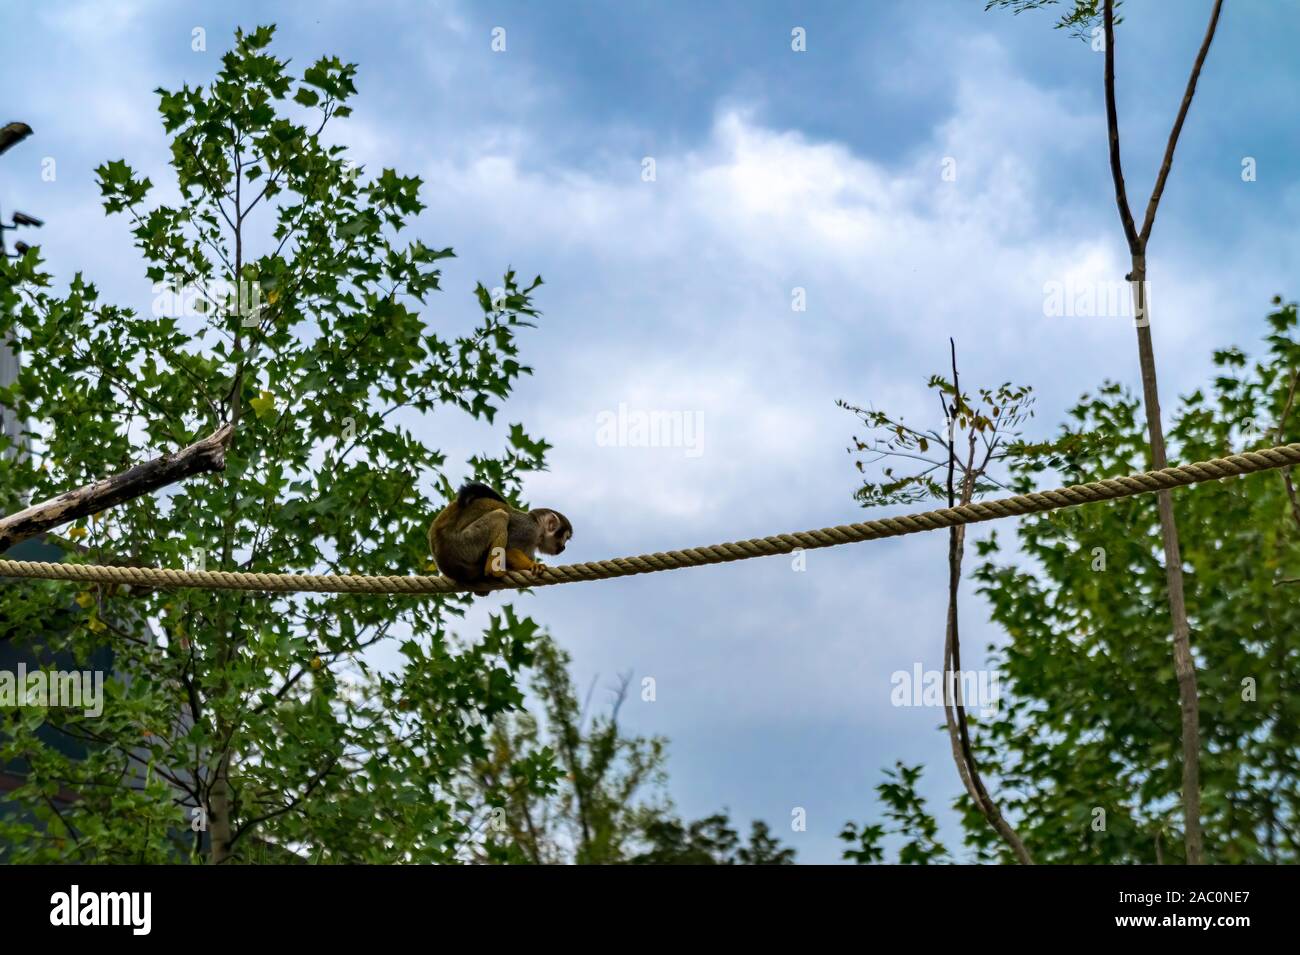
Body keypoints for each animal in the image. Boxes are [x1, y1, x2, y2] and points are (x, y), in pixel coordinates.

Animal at [428, 482, 572, 591]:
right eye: (564, 538)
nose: (564, 547)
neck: (538, 530)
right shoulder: (527, 529)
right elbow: (508, 550)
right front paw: (533, 565)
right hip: (461, 545)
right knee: (501, 516)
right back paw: (494, 571)